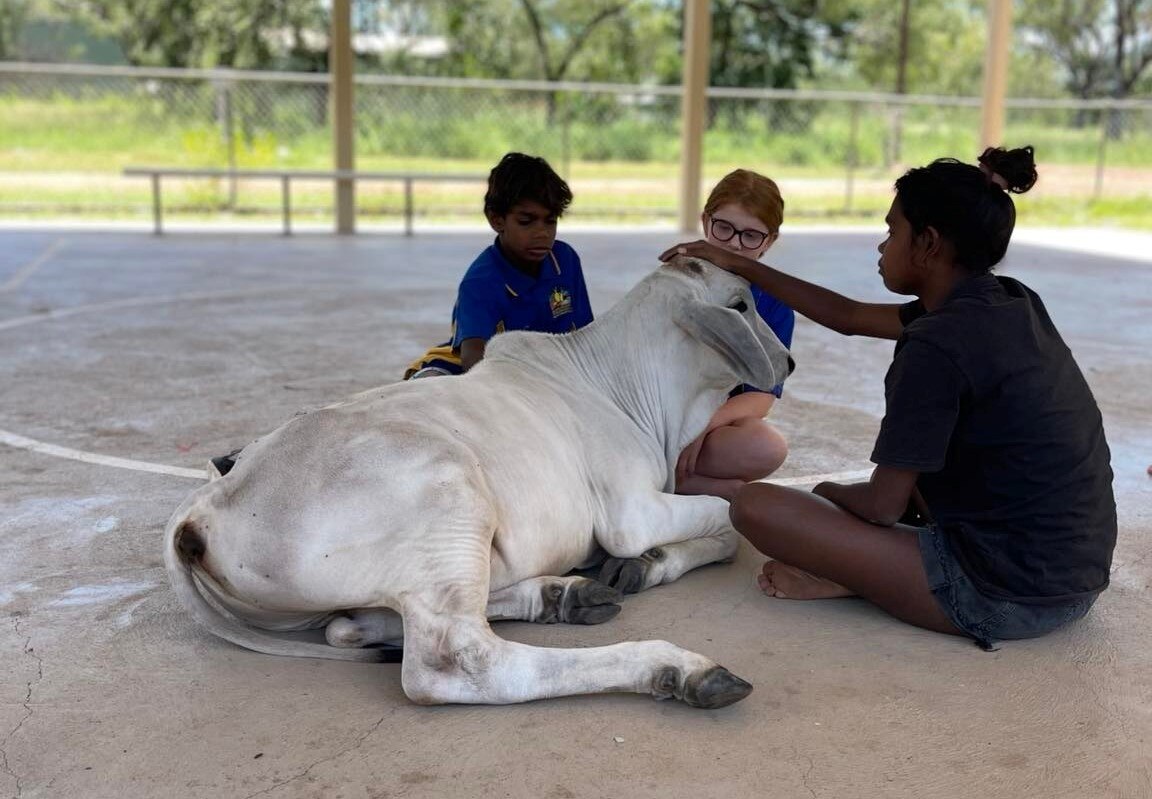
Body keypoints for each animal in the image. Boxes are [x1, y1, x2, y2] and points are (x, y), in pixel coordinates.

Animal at [164, 257, 792, 709]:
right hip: (450, 494)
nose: (786, 362)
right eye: (740, 303)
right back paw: (675, 667)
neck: (625, 388)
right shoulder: (630, 514)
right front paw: (653, 560)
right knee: (456, 661)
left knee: (351, 625)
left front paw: (640, 568)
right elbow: (728, 520)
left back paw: (563, 594)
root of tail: (205, 504)